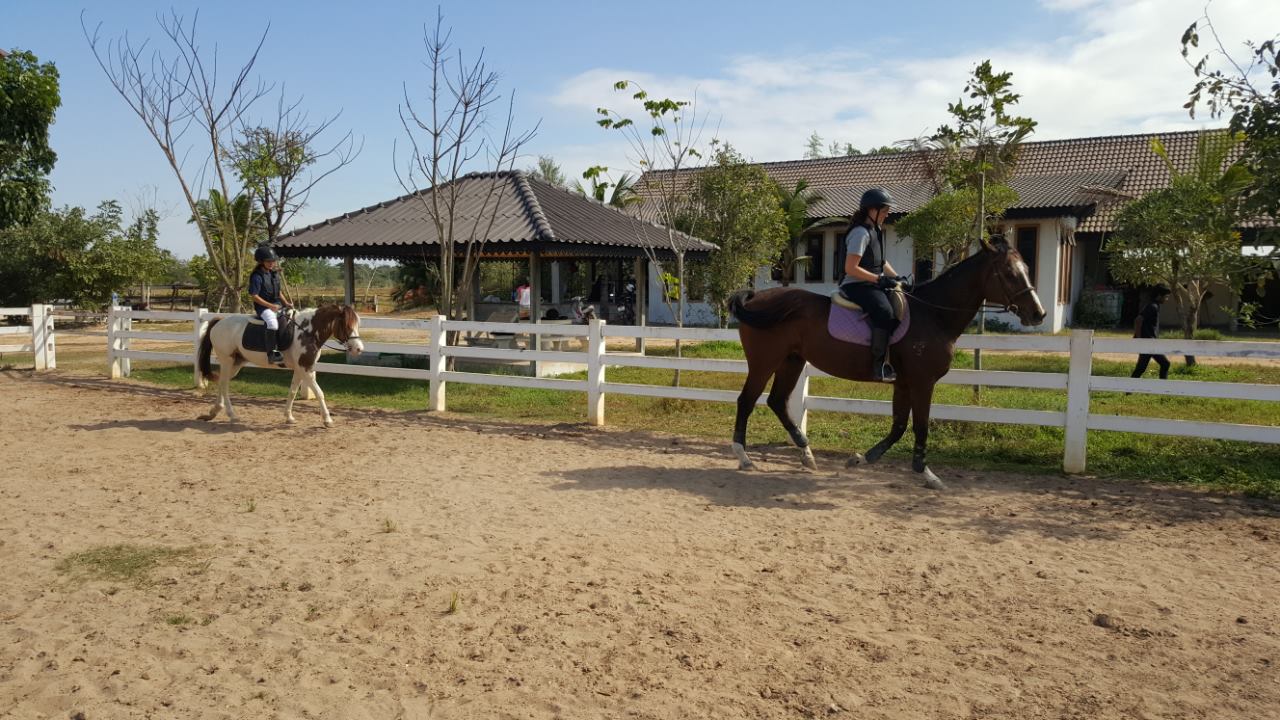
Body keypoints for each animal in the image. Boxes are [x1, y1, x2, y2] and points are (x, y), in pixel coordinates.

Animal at [197, 304, 364, 427]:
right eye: (347, 325)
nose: (358, 349)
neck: (307, 331)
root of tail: (219, 321)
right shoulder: (306, 369)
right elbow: (319, 393)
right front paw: (327, 420)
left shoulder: (300, 369)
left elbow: (292, 392)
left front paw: (289, 417)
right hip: (227, 361)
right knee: (224, 385)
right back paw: (231, 415)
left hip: (235, 364)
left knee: (222, 382)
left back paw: (214, 411)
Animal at [727, 238, 1046, 490]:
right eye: (1010, 273)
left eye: (1026, 270)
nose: (1038, 313)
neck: (933, 316)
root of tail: (756, 297)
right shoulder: (922, 382)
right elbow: (920, 426)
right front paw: (927, 474)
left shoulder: (903, 383)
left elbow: (899, 426)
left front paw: (861, 459)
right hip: (764, 362)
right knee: (746, 401)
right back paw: (743, 457)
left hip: (791, 361)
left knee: (778, 401)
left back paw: (807, 455)